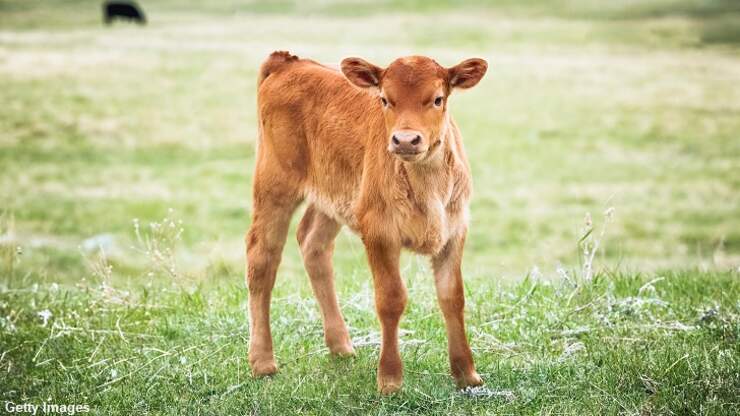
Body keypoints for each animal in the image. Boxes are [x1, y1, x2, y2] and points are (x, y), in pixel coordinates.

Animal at [246, 51, 487, 394]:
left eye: (437, 99)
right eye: (385, 99)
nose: (405, 140)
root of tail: (289, 62)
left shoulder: (454, 231)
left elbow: (452, 297)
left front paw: (466, 374)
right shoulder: (378, 232)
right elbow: (391, 299)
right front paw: (390, 379)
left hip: (335, 198)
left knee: (312, 242)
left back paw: (341, 346)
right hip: (274, 186)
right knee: (261, 258)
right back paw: (263, 361)